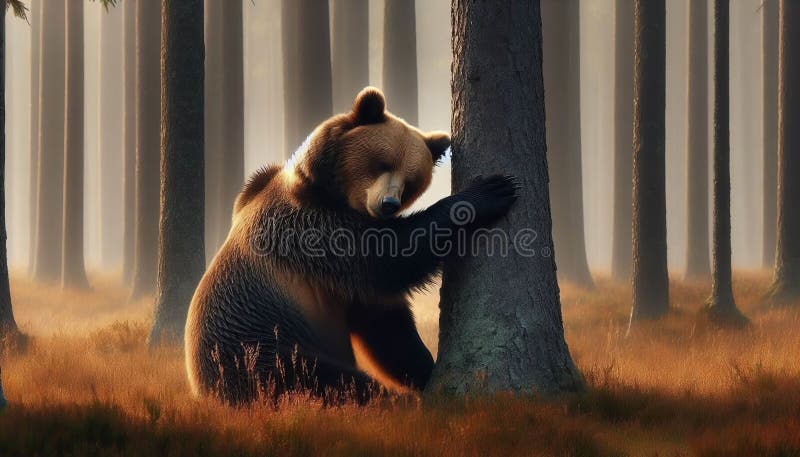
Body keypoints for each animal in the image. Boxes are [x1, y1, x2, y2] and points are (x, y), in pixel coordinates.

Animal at [185, 87, 519, 404]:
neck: (334, 194)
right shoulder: (308, 231)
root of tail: (206, 389)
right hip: (261, 350)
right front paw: (491, 191)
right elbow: (387, 257)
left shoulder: (344, 283)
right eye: (382, 163)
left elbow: (386, 328)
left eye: (411, 181)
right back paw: (390, 398)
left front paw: (425, 369)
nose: (388, 204)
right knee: (324, 382)